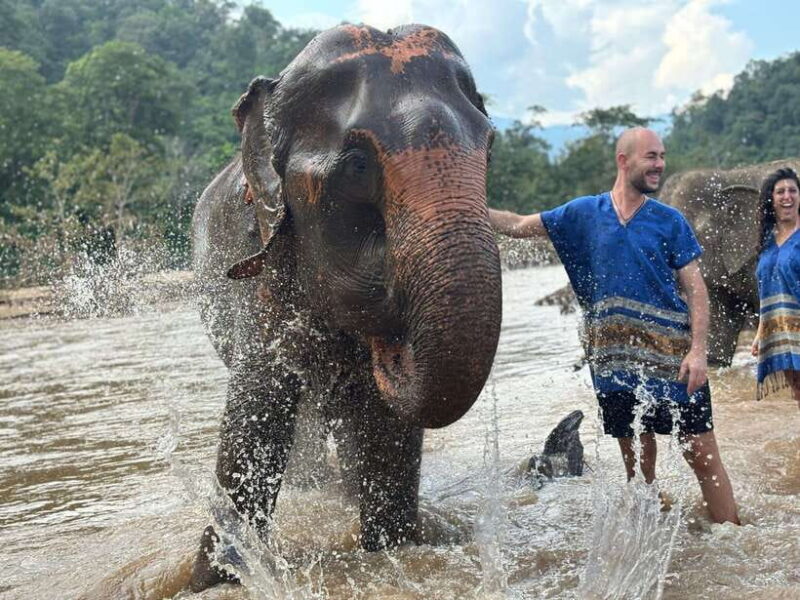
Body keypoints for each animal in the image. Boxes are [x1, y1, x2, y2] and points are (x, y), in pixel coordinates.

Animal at [189, 24, 502, 591]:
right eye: (357, 166)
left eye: (489, 149)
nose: (392, 348)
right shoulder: (264, 270)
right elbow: (256, 418)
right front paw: (217, 574)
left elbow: (387, 433)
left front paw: (391, 550)